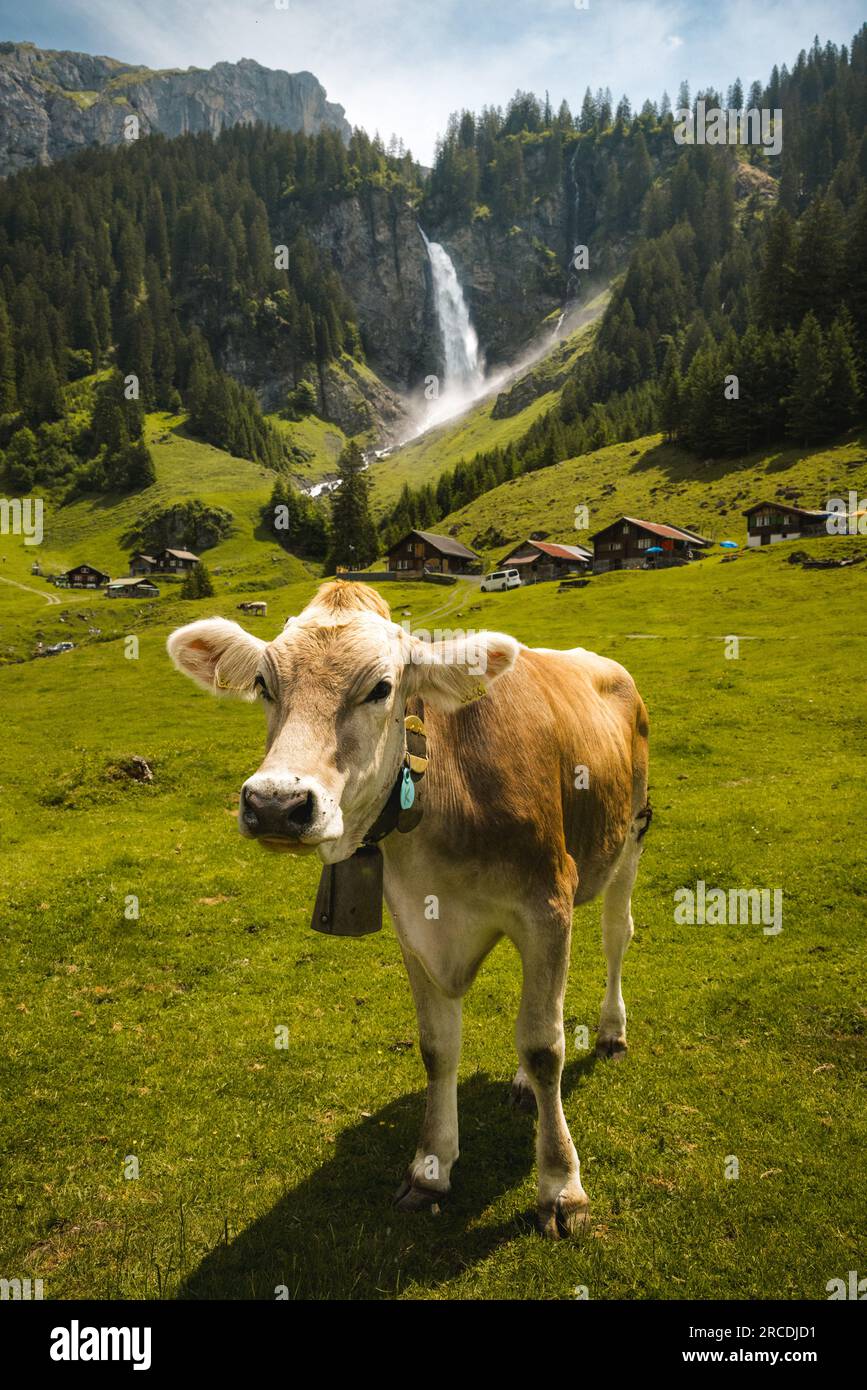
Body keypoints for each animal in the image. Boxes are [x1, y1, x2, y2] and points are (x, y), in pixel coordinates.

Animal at [167, 579, 650, 1237]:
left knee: (615, 937)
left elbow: (545, 1046)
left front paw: (561, 1187)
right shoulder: (415, 923)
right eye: (265, 684)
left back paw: (610, 1032)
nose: (275, 804)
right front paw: (430, 1169)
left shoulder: (548, 903)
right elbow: (439, 1046)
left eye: (381, 688)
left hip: (629, 837)